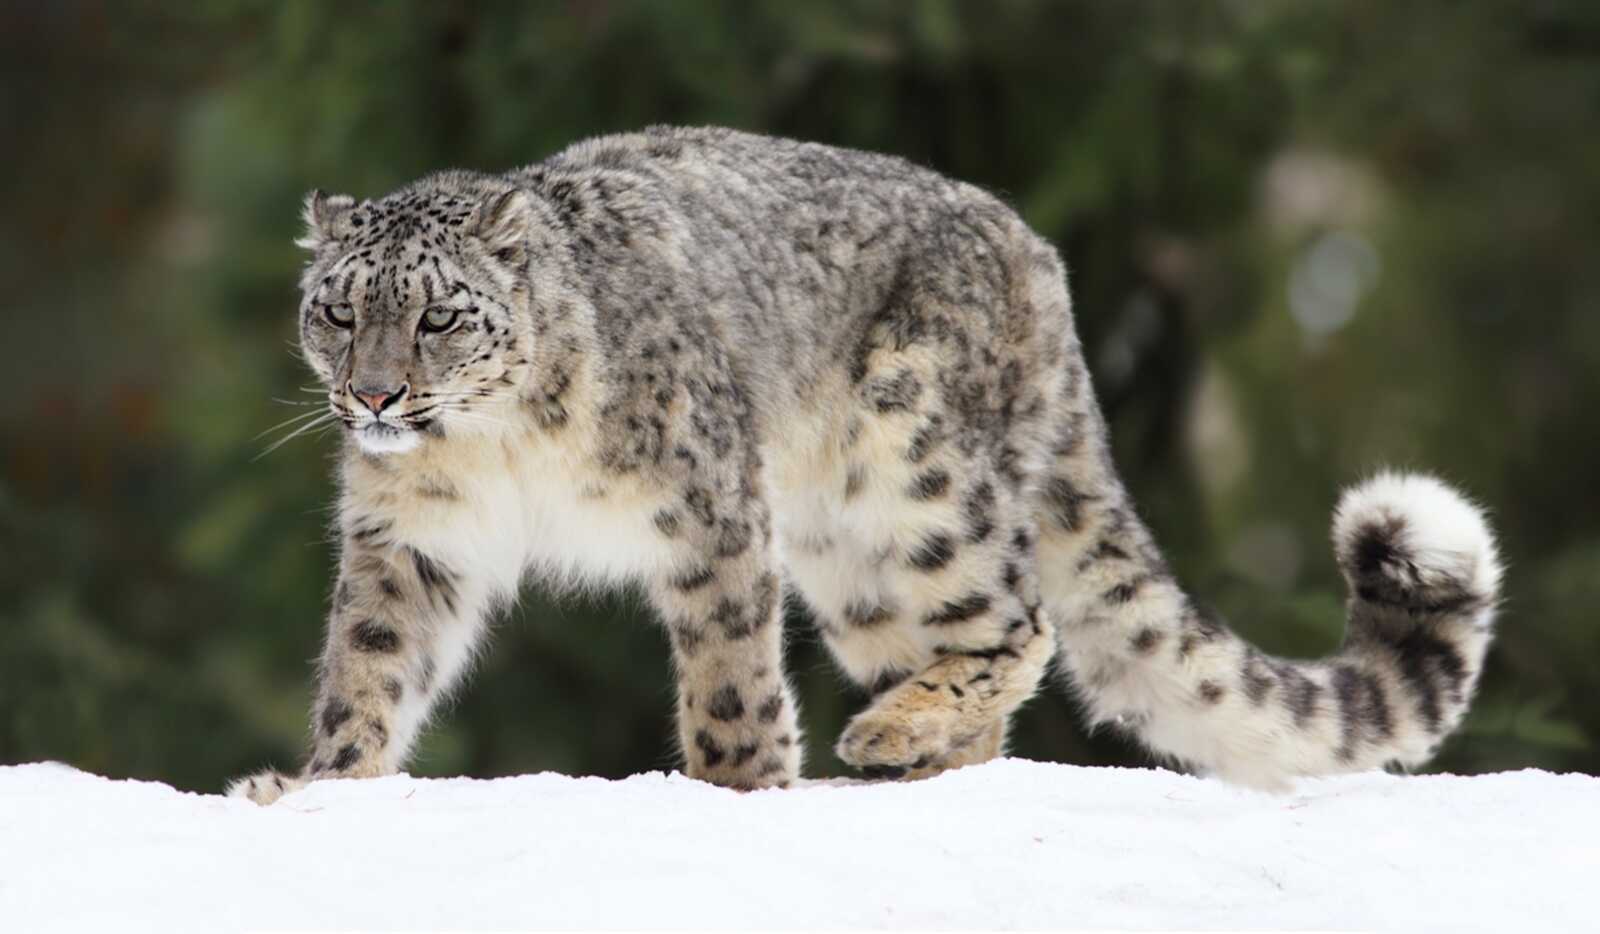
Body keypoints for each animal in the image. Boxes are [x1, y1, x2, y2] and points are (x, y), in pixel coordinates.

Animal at [229, 126, 1503, 804]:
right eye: (337, 311)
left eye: (437, 316)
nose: (374, 395)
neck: (493, 449)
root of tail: (1038, 256)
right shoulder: (411, 539)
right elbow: (371, 666)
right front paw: (318, 785)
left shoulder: (708, 509)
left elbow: (728, 671)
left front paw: (739, 787)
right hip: (846, 555)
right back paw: (917, 759)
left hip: (914, 462)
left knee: (1021, 620)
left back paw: (888, 735)